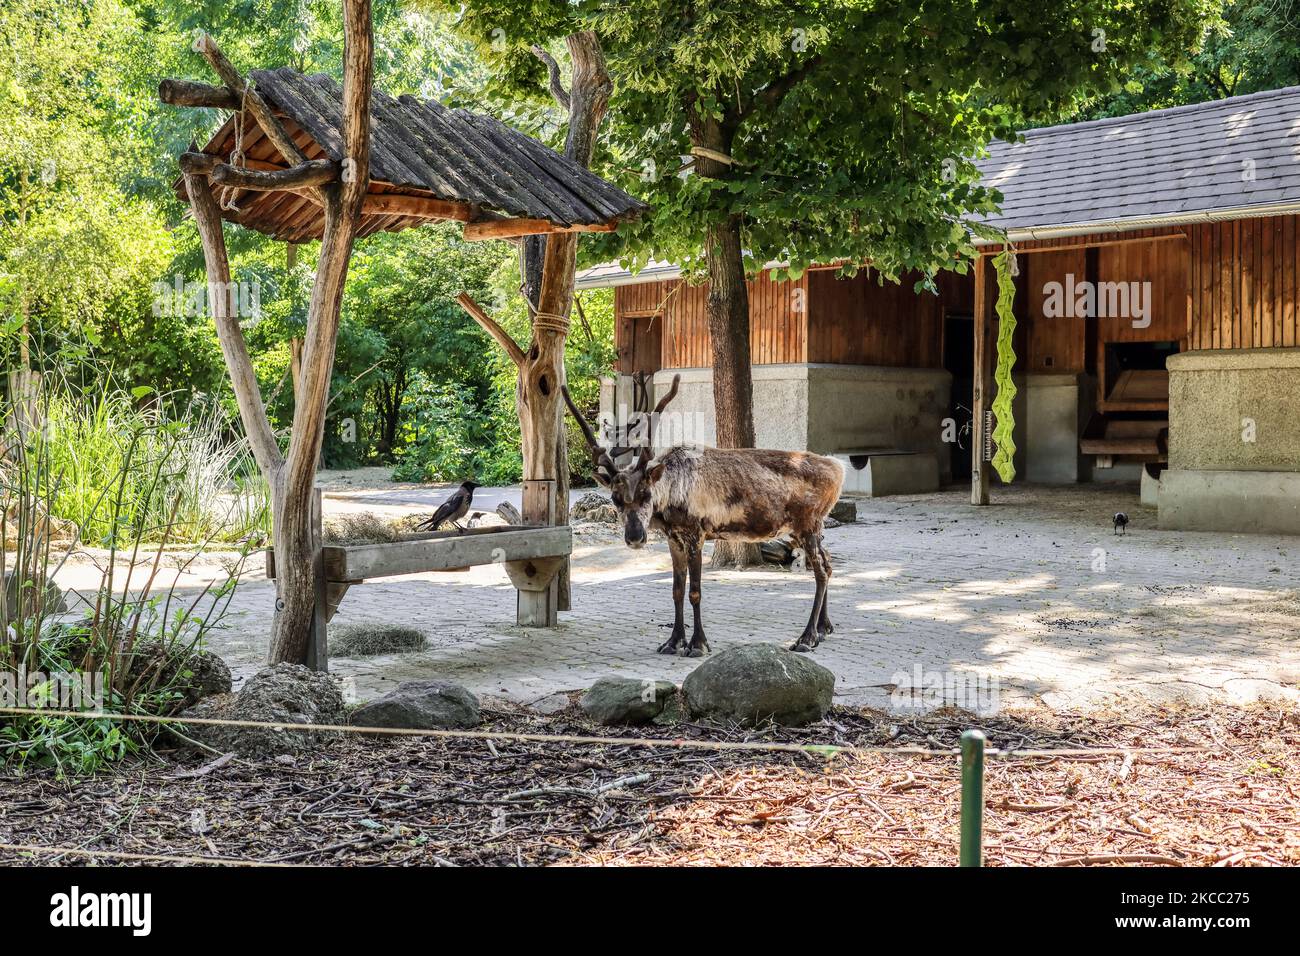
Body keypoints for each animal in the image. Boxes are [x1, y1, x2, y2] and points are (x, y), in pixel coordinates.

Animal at [563, 375, 845, 656]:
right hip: (804, 529)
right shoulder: (673, 539)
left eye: (646, 493)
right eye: (615, 498)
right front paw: (673, 642)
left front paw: (697, 644)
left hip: (807, 525)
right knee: (829, 563)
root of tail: (838, 469)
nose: (635, 537)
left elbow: (695, 591)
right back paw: (824, 628)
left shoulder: (695, 535)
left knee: (820, 571)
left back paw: (806, 637)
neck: (670, 495)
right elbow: (677, 590)